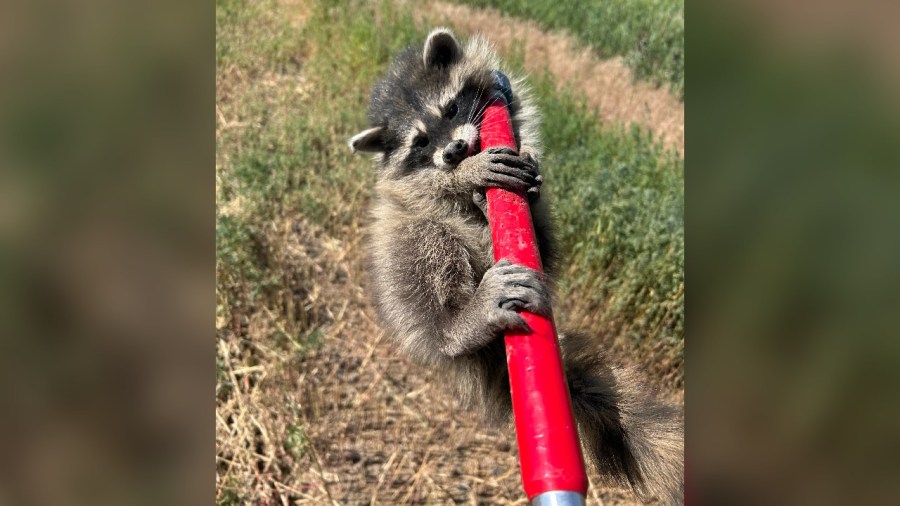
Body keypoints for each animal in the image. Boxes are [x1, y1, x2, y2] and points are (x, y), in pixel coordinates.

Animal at [349, 28, 684, 504]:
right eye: (420, 142)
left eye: (450, 109)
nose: (453, 150)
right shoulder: (406, 186)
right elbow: (430, 188)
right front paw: (464, 174)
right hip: (407, 265)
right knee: (424, 242)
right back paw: (455, 324)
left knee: (539, 233)